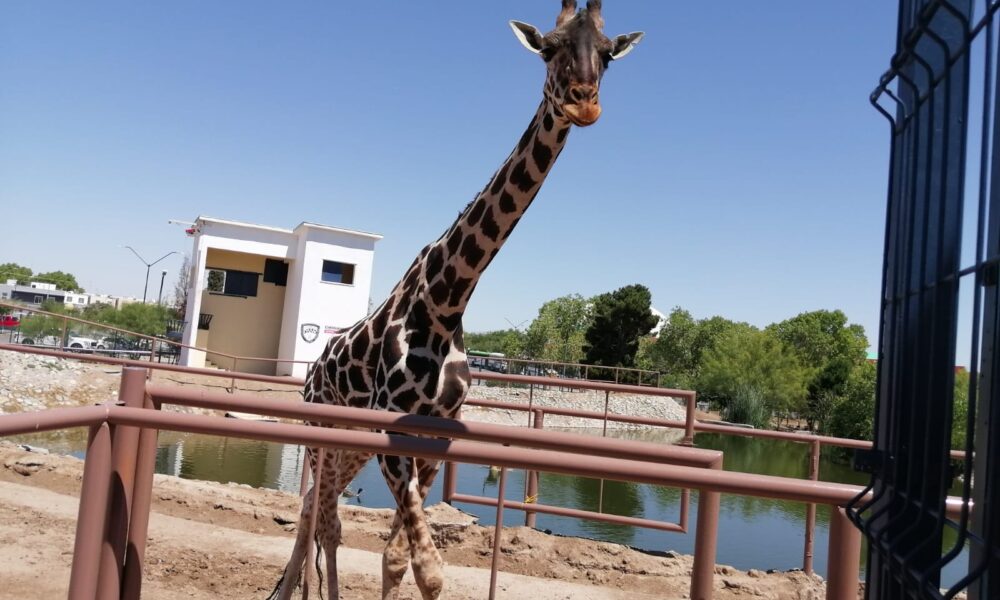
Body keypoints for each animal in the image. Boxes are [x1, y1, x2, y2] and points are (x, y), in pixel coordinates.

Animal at [271, 2, 643, 598]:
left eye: (607, 54)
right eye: (549, 47)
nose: (584, 101)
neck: (446, 302)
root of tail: (311, 369)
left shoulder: (432, 440)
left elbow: (399, 559)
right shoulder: (393, 430)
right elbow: (427, 566)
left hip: (351, 445)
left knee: (316, 509)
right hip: (321, 434)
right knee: (322, 516)